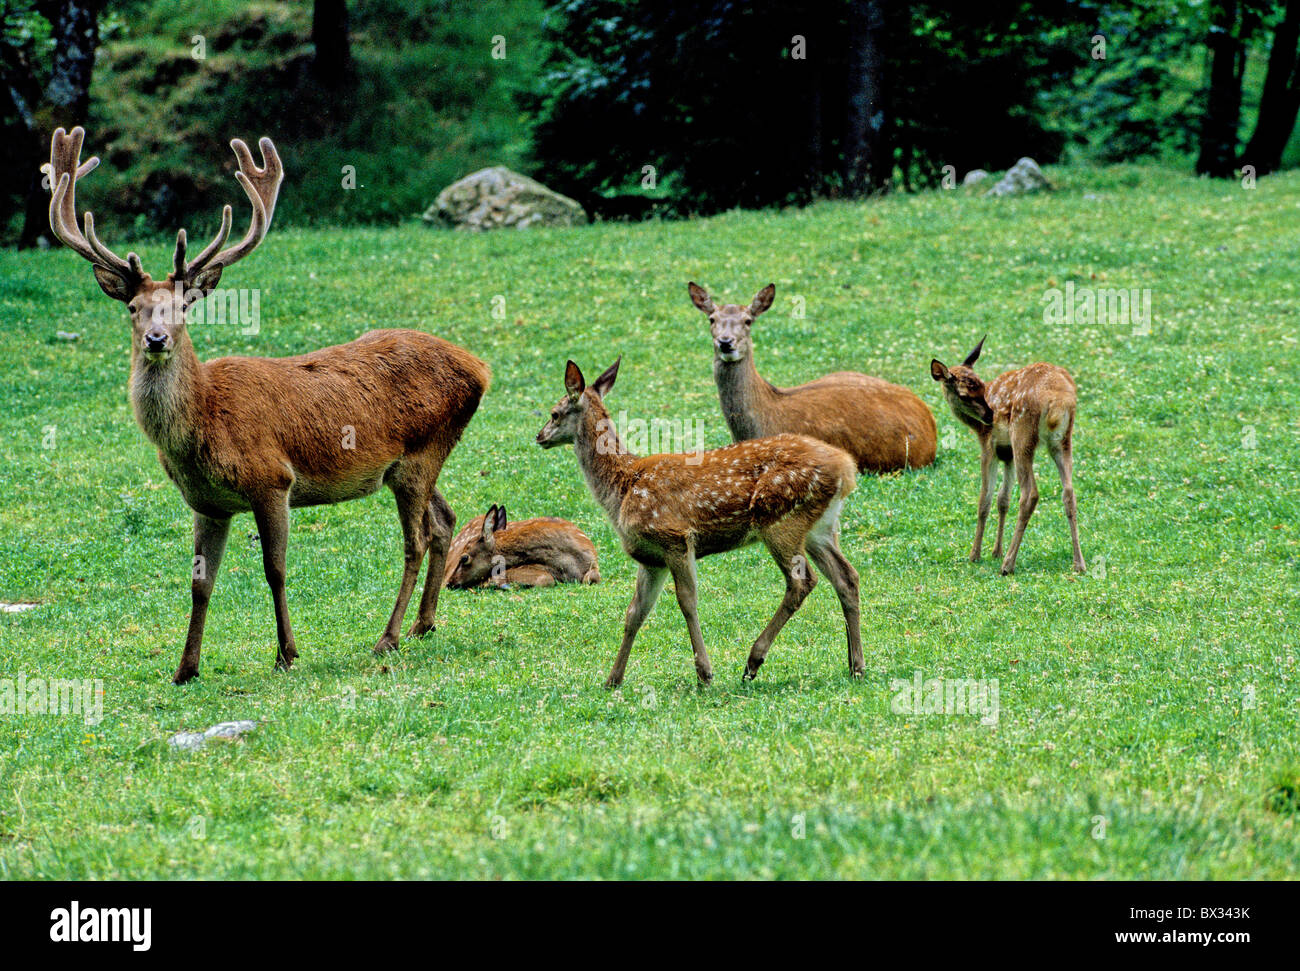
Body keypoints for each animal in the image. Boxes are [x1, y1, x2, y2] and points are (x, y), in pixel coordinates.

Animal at [43, 126, 491, 684]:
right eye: (132, 307)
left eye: (183, 307)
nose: (156, 338)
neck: (202, 423)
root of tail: (480, 369)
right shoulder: (207, 503)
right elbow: (200, 582)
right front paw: (186, 667)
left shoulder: (272, 479)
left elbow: (274, 569)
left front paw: (286, 653)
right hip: (414, 461)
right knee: (445, 520)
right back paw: (423, 624)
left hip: (420, 453)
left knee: (417, 538)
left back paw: (386, 638)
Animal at [536, 358, 863, 687]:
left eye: (554, 413)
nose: (539, 436)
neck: (622, 488)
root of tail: (846, 467)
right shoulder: (650, 558)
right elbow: (635, 612)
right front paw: (612, 680)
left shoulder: (675, 538)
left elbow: (687, 601)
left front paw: (704, 674)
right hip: (821, 528)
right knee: (847, 577)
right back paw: (856, 665)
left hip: (782, 520)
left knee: (802, 582)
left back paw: (753, 661)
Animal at [930, 337, 1085, 576]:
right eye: (965, 394)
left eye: (982, 387)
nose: (990, 415)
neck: (974, 425)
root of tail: (1058, 399)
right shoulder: (1007, 453)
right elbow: (1003, 500)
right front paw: (996, 551)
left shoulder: (988, 444)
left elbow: (984, 500)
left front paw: (975, 554)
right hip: (1062, 440)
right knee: (1069, 492)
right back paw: (1079, 564)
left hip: (1022, 432)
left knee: (1030, 494)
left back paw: (1008, 565)